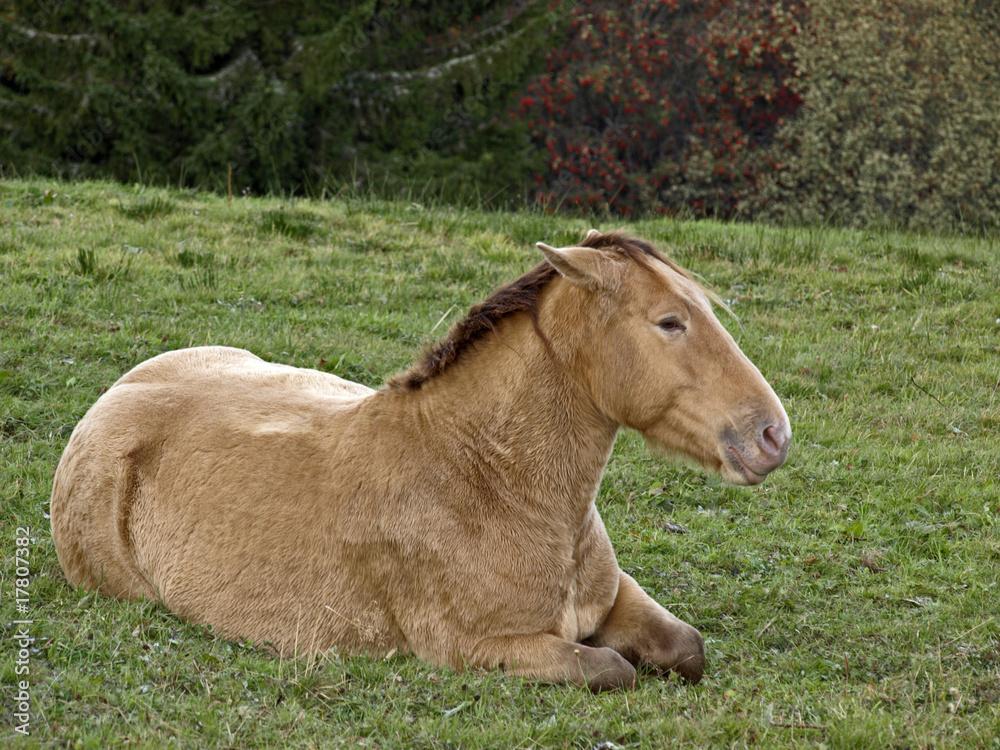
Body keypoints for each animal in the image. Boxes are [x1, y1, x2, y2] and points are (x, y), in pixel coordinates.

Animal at [50, 230, 790, 691]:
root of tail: (108, 401)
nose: (772, 435)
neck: (488, 480)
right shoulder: (478, 649)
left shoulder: (614, 598)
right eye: (670, 322)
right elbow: (612, 668)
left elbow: (686, 649)